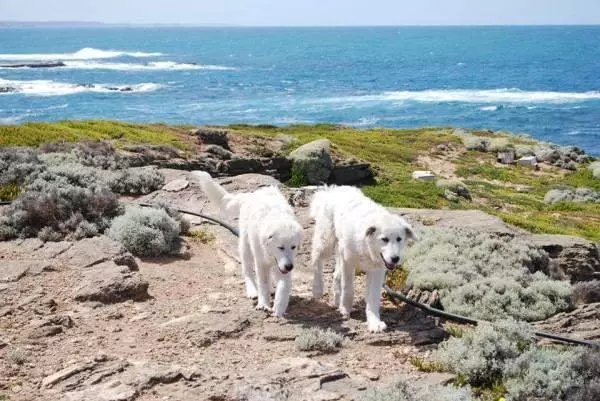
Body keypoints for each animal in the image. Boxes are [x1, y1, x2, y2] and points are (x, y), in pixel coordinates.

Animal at [193, 171, 302, 316]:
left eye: (293, 247)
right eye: (280, 247)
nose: (289, 266)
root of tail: (250, 195)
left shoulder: (284, 263)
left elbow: (283, 287)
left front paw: (279, 308)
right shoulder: (261, 261)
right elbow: (262, 283)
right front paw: (263, 304)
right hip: (246, 246)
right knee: (247, 271)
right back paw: (252, 290)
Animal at [312, 186, 414, 332]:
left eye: (399, 239)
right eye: (384, 239)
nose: (395, 259)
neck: (367, 246)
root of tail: (333, 189)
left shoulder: (377, 270)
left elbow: (373, 297)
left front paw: (374, 322)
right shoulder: (348, 261)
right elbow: (348, 288)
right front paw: (345, 309)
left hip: (340, 250)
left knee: (336, 275)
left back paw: (337, 299)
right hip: (326, 241)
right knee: (316, 259)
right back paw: (317, 289)